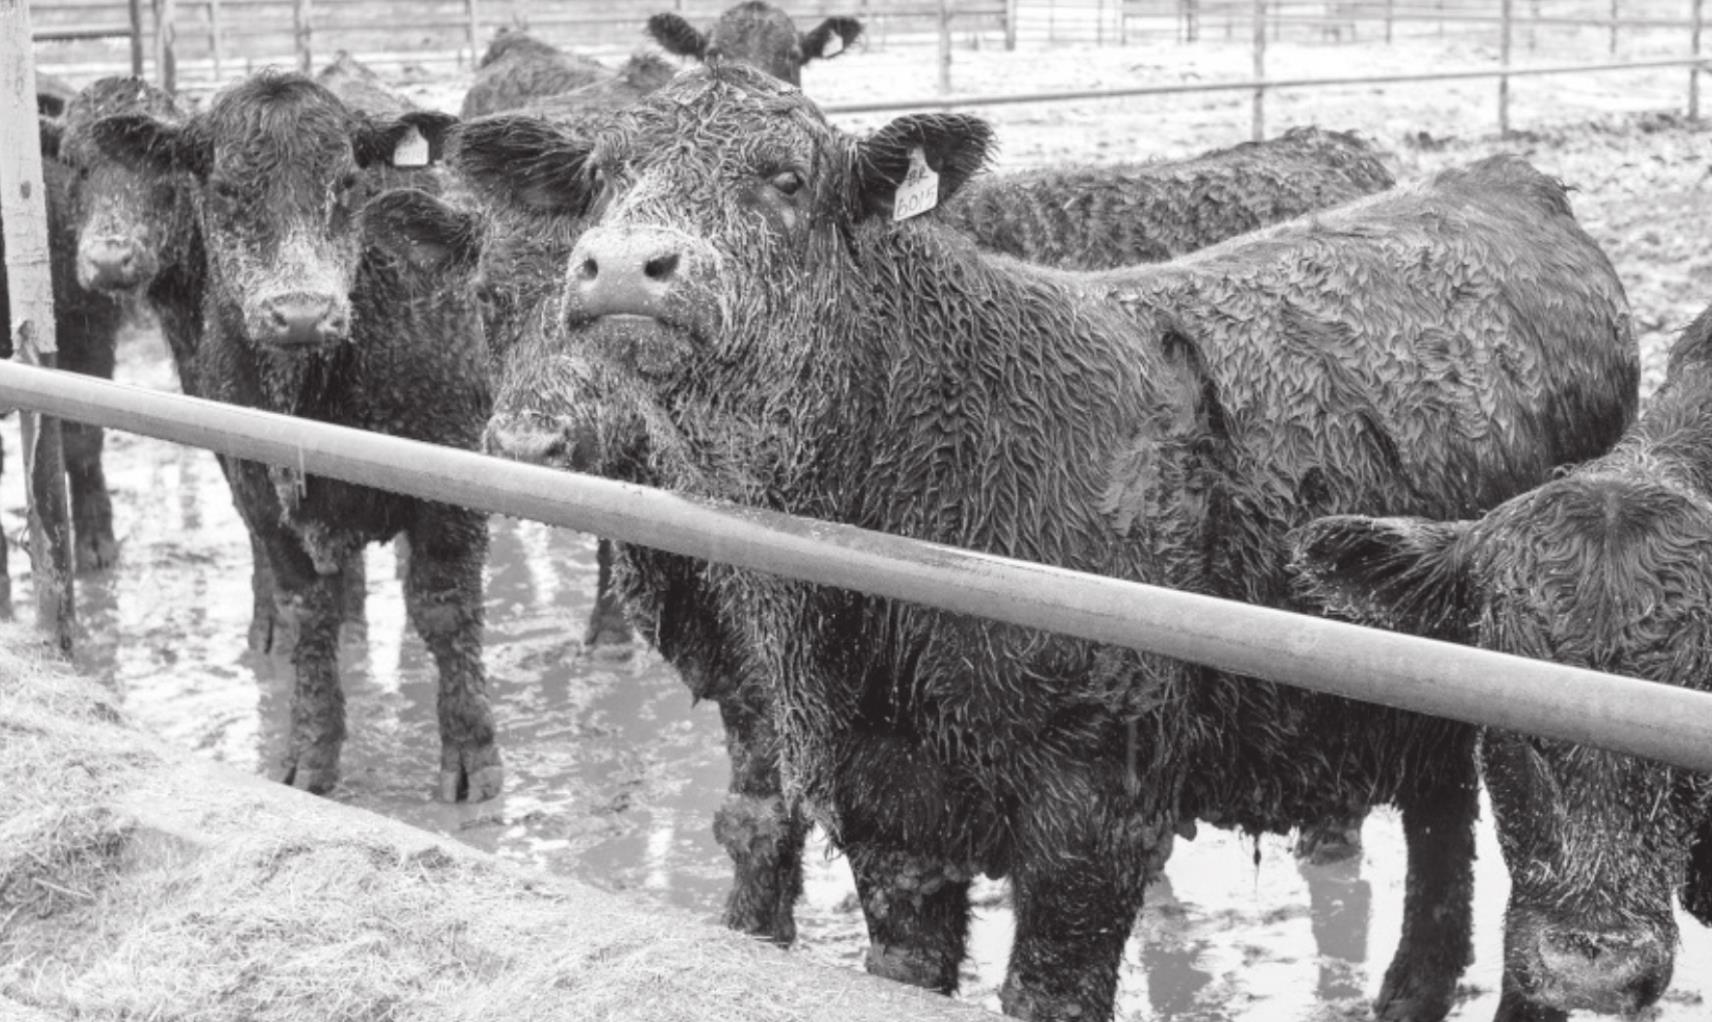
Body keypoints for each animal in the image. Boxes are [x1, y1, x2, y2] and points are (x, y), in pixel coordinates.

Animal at [83, 72, 500, 803]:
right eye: (224, 189)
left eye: (349, 182)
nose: (301, 312)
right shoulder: (261, 492)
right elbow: (310, 614)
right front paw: (309, 753)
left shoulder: (454, 484)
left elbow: (446, 611)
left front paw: (471, 757)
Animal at [462, 66, 1637, 1020]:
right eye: (603, 178)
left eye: (786, 178)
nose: (621, 265)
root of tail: (1498, 177)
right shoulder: (887, 813)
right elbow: (895, 962)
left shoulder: (1094, 813)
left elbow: (1046, 989)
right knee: (1439, 826)